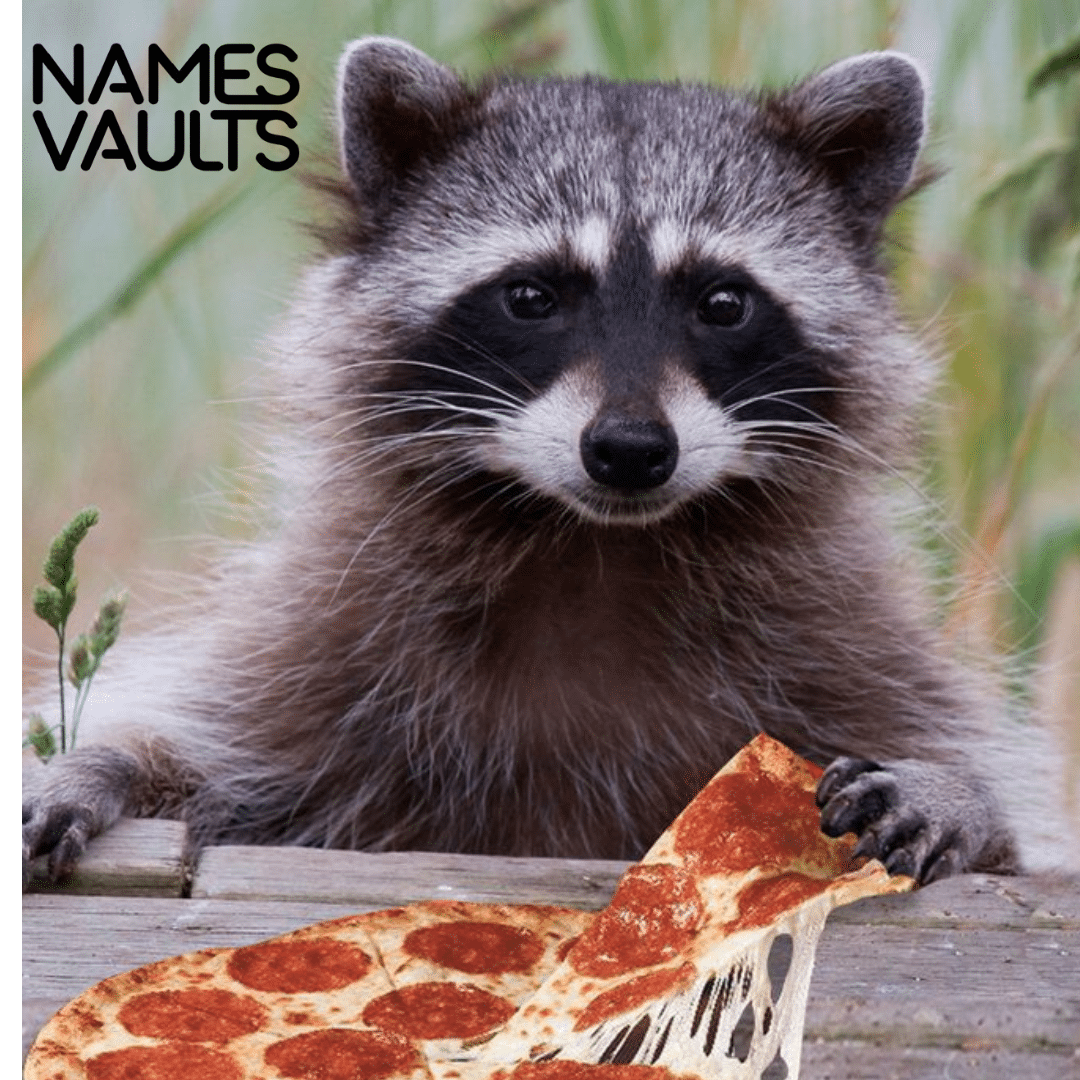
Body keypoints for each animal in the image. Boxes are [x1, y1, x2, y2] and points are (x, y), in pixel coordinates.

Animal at [23, 38, 1043, 887]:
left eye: (723, 302)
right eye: (531, 295)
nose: (630, 451)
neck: (595, 547)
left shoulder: (850, 652)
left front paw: (963, 799)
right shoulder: (320, 656)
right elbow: (219, 767)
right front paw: (103, 763)